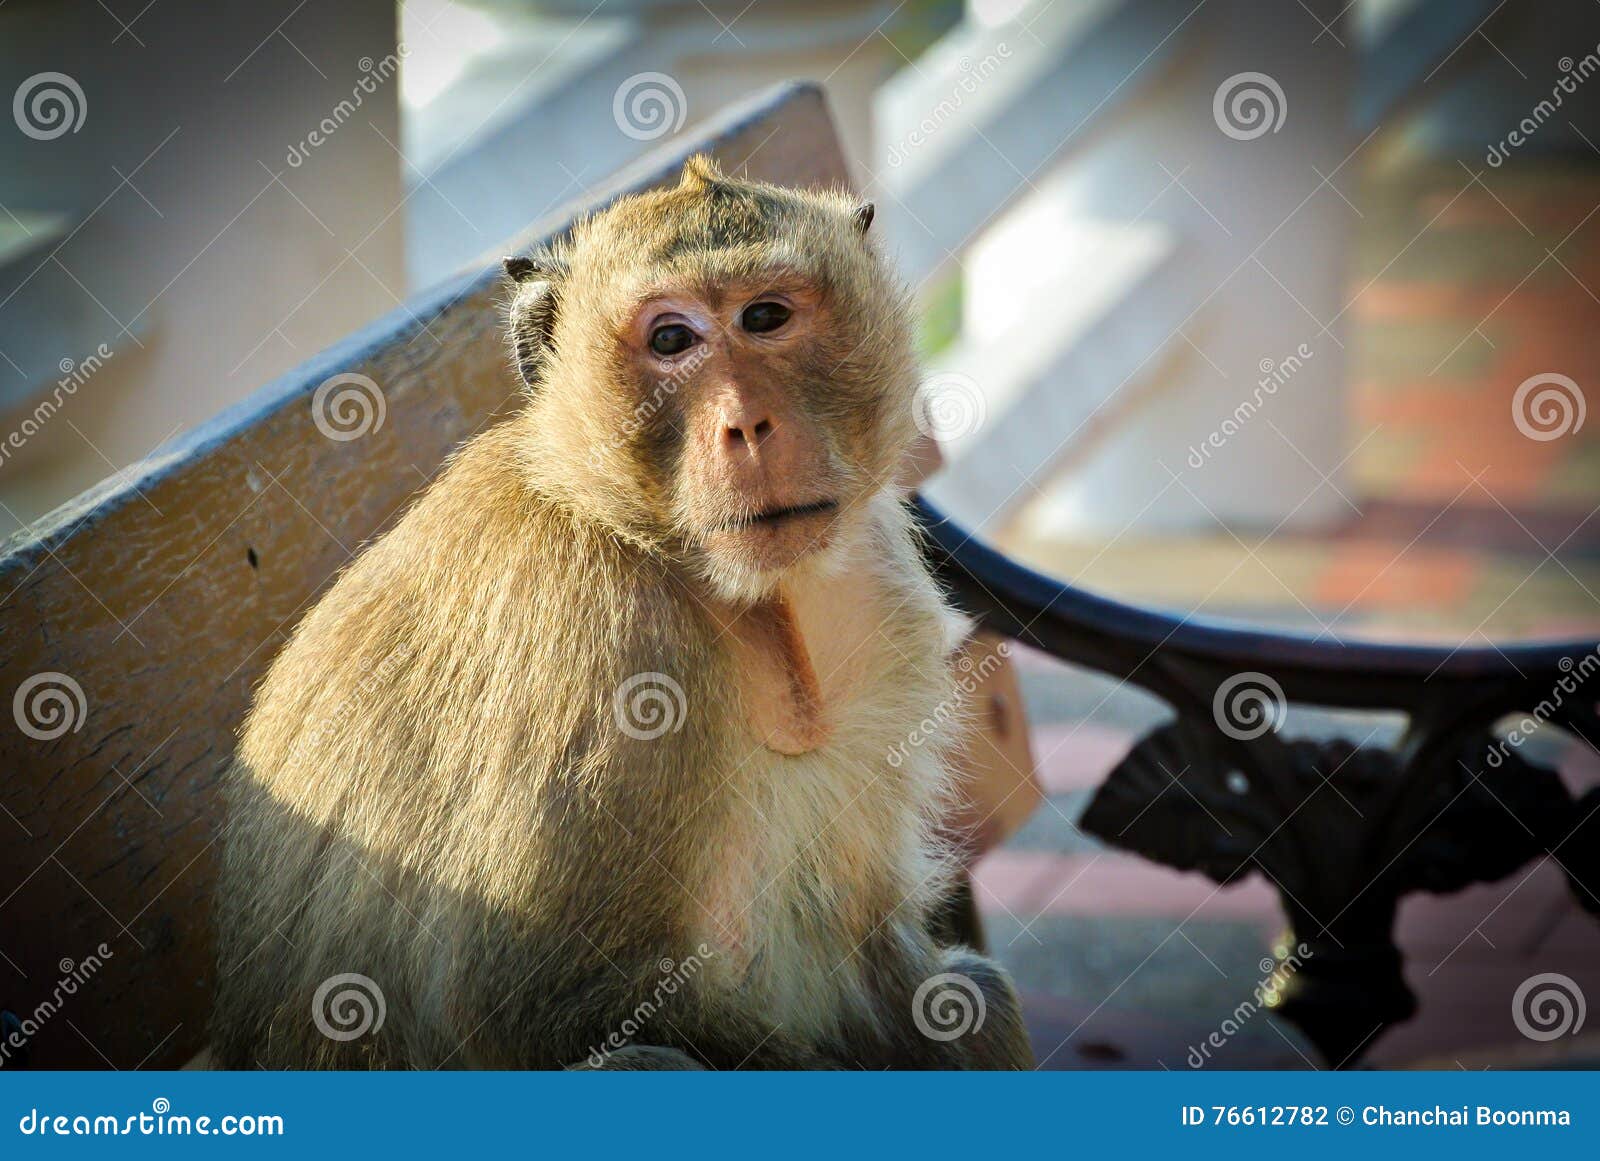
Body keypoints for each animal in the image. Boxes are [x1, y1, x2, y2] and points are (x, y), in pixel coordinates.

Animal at [209, 155, 1033, 1070]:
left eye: (766, 316)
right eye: (671, 340)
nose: (747, 423)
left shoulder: (879, 584)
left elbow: (903, 968)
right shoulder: (602, 648)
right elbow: (532, 1004)